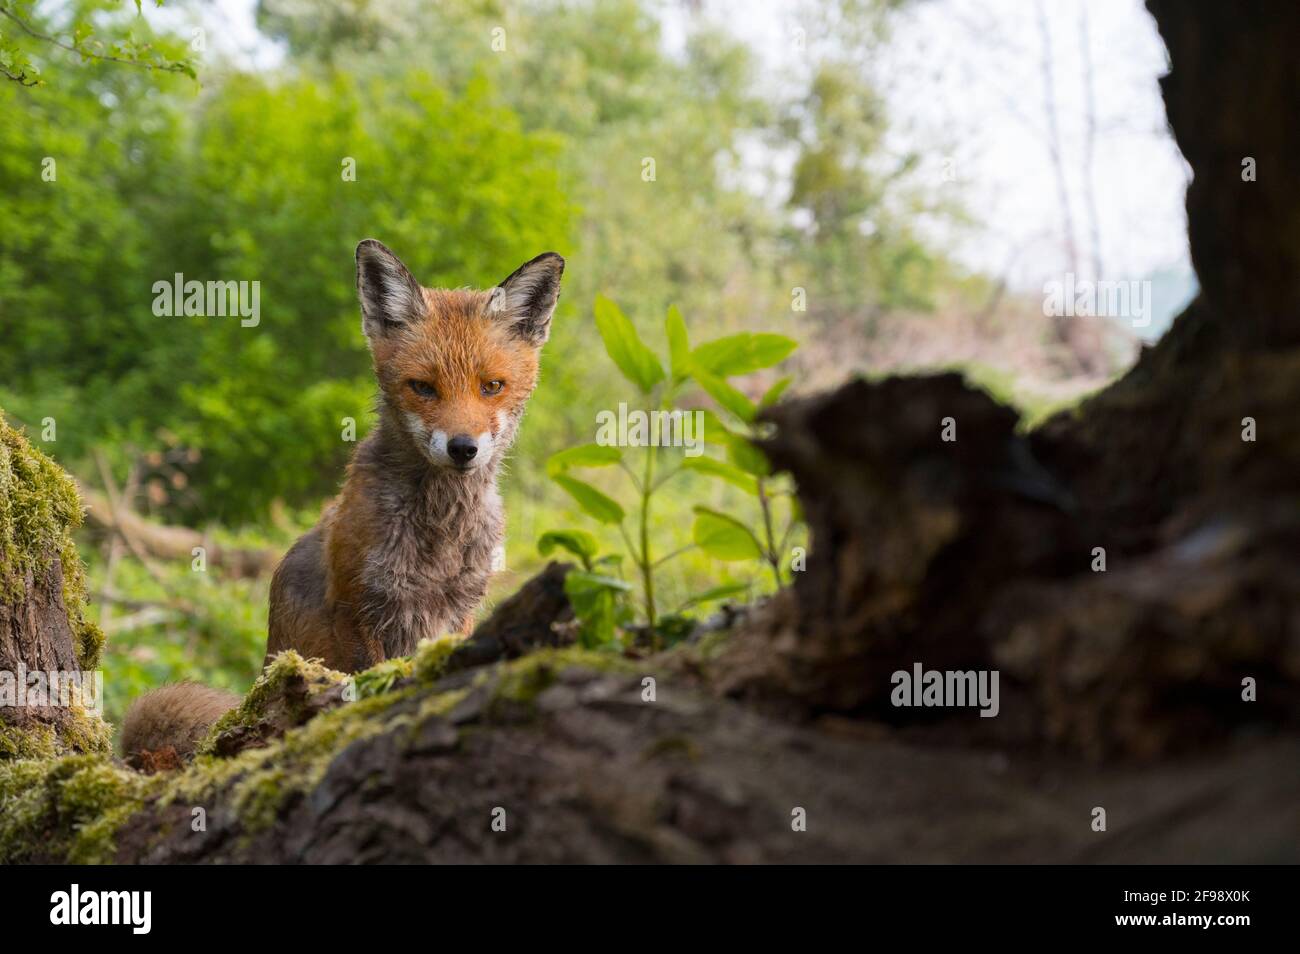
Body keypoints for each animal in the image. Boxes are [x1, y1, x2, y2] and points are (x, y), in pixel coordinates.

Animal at [120, 240, 564, 765]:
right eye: (423, 387)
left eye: (491, 386)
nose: (462, 448)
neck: (439, 535)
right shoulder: (357, 607)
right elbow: (366, 684)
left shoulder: (459, 612)